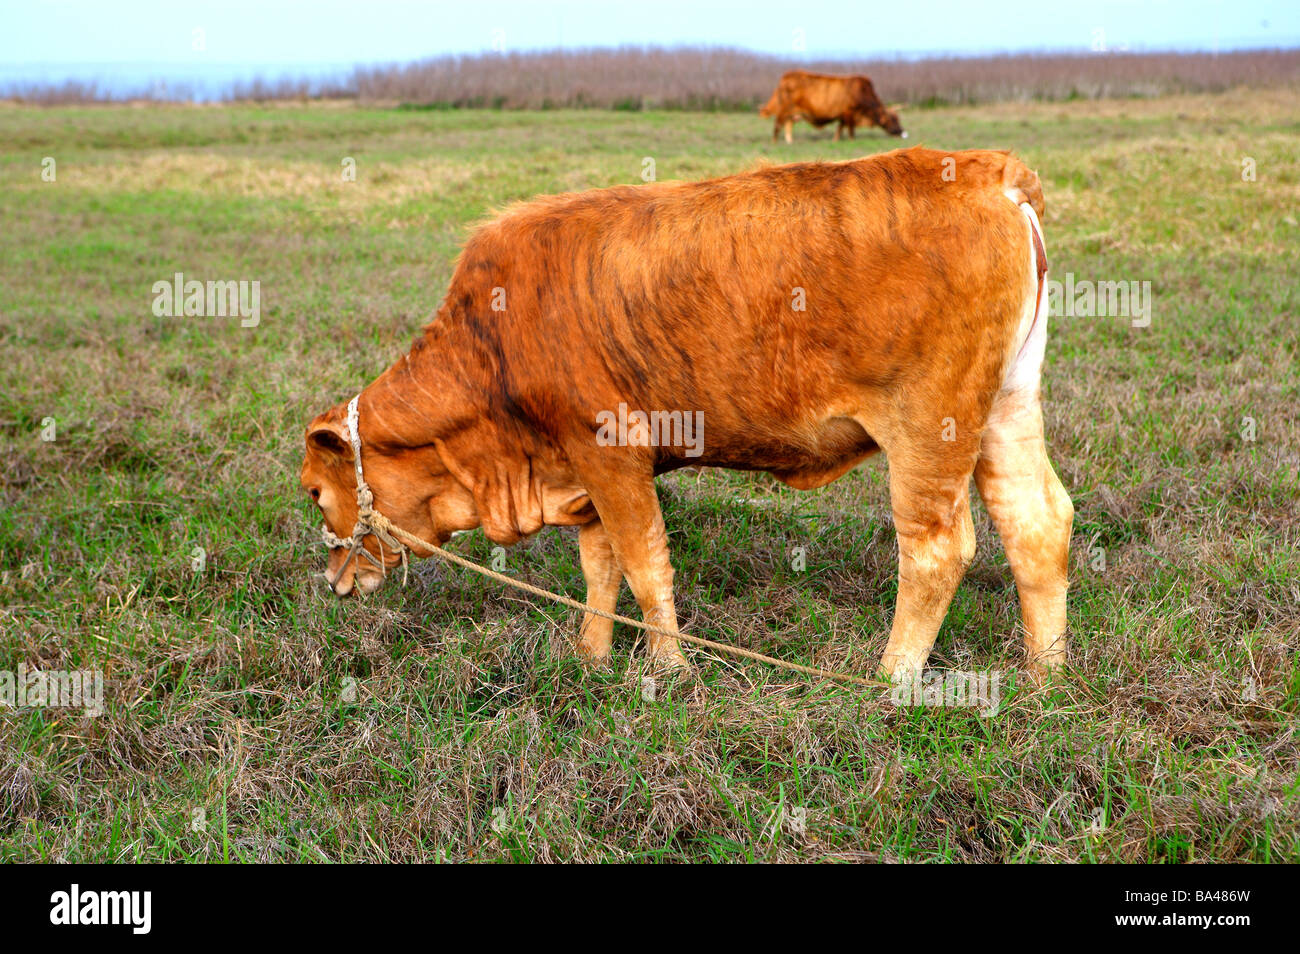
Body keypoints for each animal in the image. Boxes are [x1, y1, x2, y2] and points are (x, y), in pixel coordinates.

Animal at [301, 147, 1072, 684]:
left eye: (313, 491)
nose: (334, 582)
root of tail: (989, 171)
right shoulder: (587, 473)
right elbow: (602, 568)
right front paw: (590, 656)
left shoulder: (610, 453)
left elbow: (645, 567)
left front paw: (667, 670)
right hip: (1006, 408)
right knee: (1037, 524)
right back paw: (1046, 675)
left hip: (929, 429)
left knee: (937, 551)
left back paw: (890, 682)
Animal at [759, 69, 906, 144]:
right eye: (894, 119)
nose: (901, 131)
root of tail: (785, 77)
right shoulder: (849, 113)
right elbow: (850, 130)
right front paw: (851, 140)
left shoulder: (843, 115)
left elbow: (840, 128)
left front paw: (835, 140)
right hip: (784, 110)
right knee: (778, 125)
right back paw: (775, 142)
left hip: (792, 113)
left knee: (788, 125)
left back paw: (790, 141)